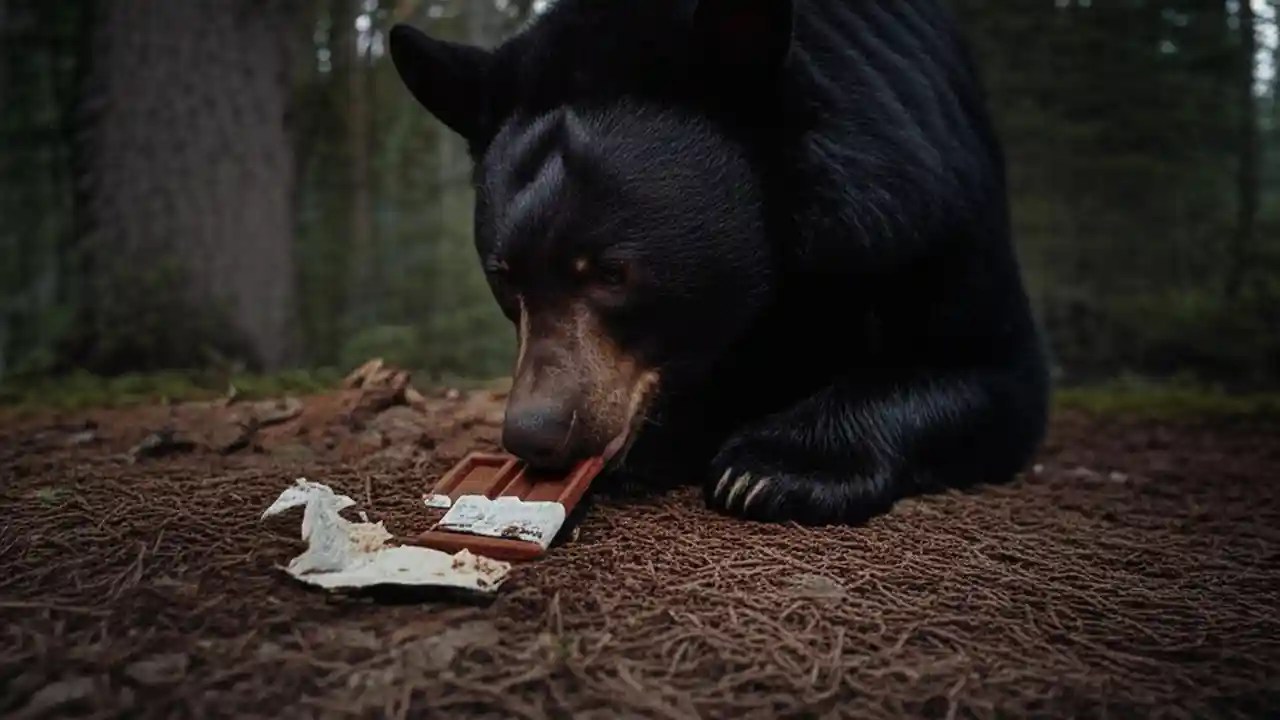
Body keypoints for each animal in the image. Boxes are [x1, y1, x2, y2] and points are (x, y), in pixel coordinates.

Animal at [387, 0, 1051, 526]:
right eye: (504, 277)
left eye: (611, 272)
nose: (534, 433)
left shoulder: (928, 201)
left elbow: (988, 364)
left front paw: (771, 469)